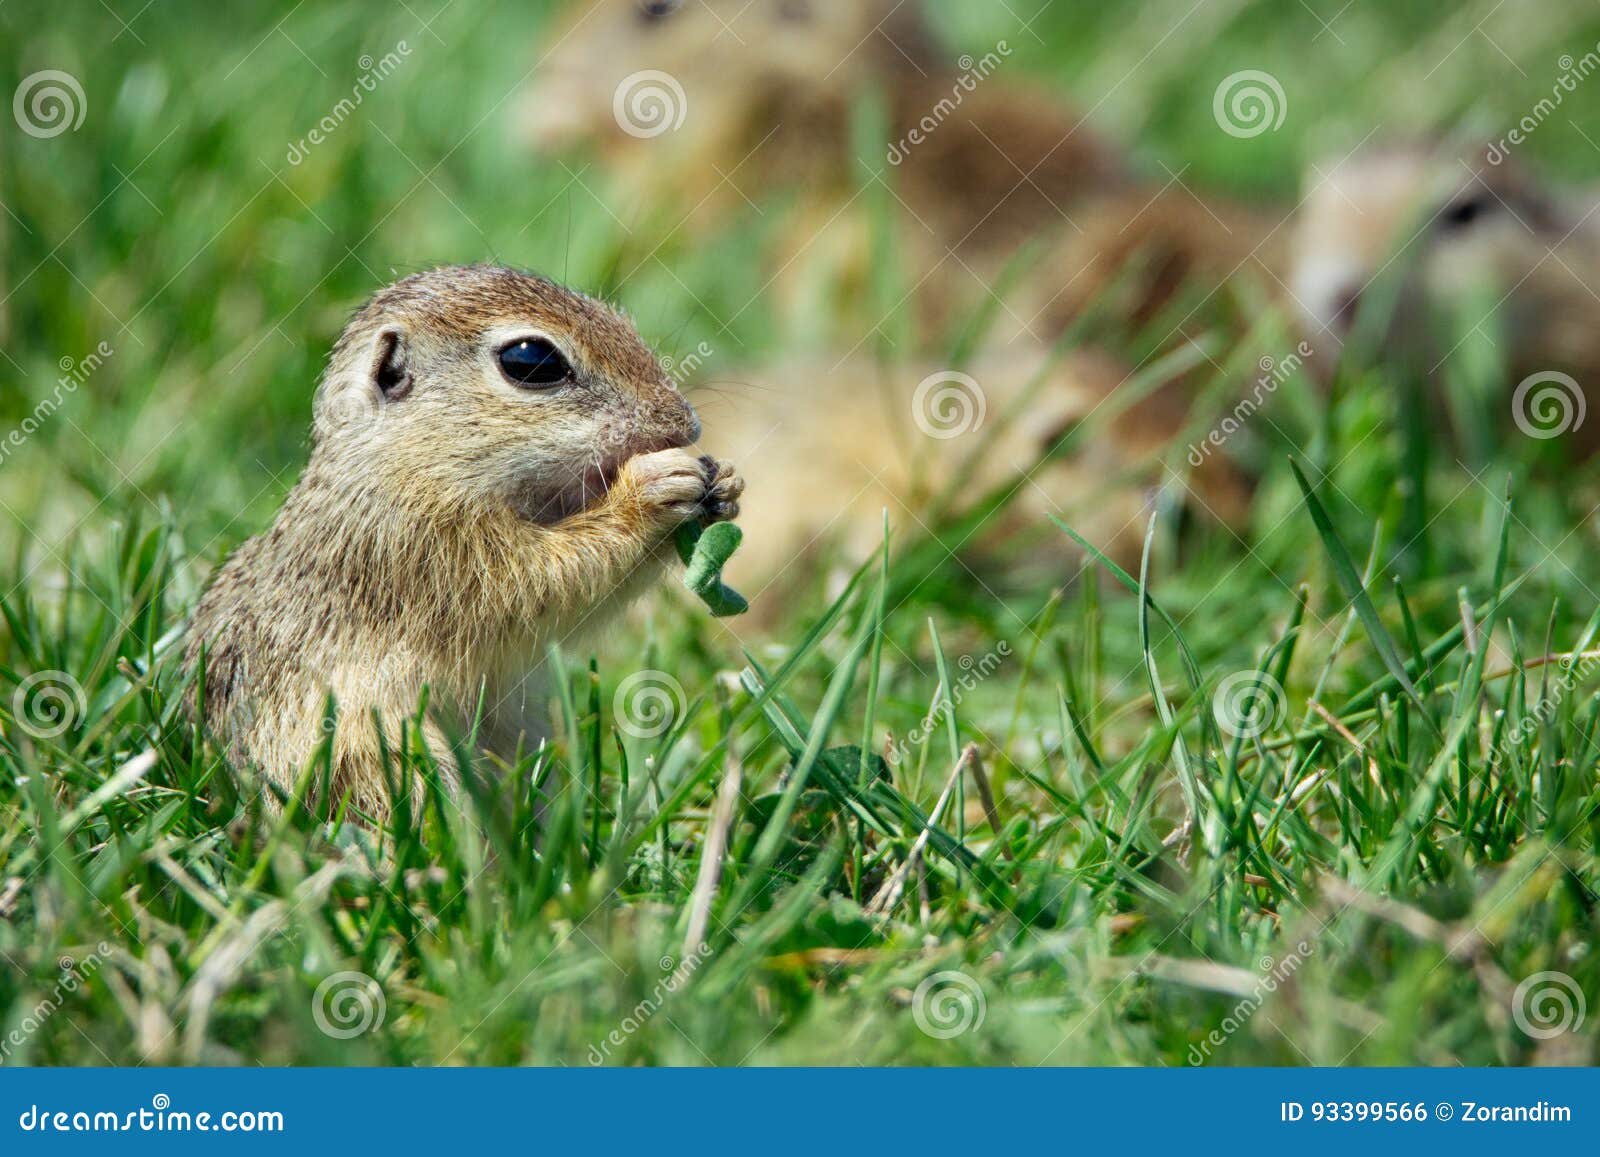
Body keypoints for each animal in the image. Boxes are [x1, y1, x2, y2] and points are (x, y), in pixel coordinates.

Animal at [184, 265, 742, 818]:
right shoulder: (424, 548)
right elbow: (540, 582)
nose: (684, 424)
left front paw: (726, 485)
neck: (402, 460)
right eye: (530, 361)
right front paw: (649, 490)